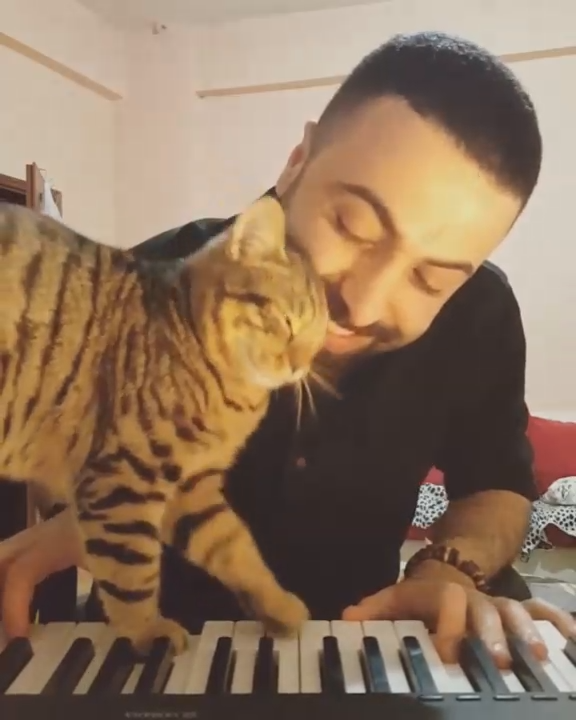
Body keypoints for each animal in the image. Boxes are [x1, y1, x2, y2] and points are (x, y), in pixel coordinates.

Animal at [0, 196, 328, 655]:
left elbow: (236, 547)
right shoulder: (124, 480)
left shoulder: (193, 489)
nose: (300, 366)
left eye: (318, 341)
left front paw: (276, 604)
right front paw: (148, 632)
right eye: (284, 321)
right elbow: (131, 572)